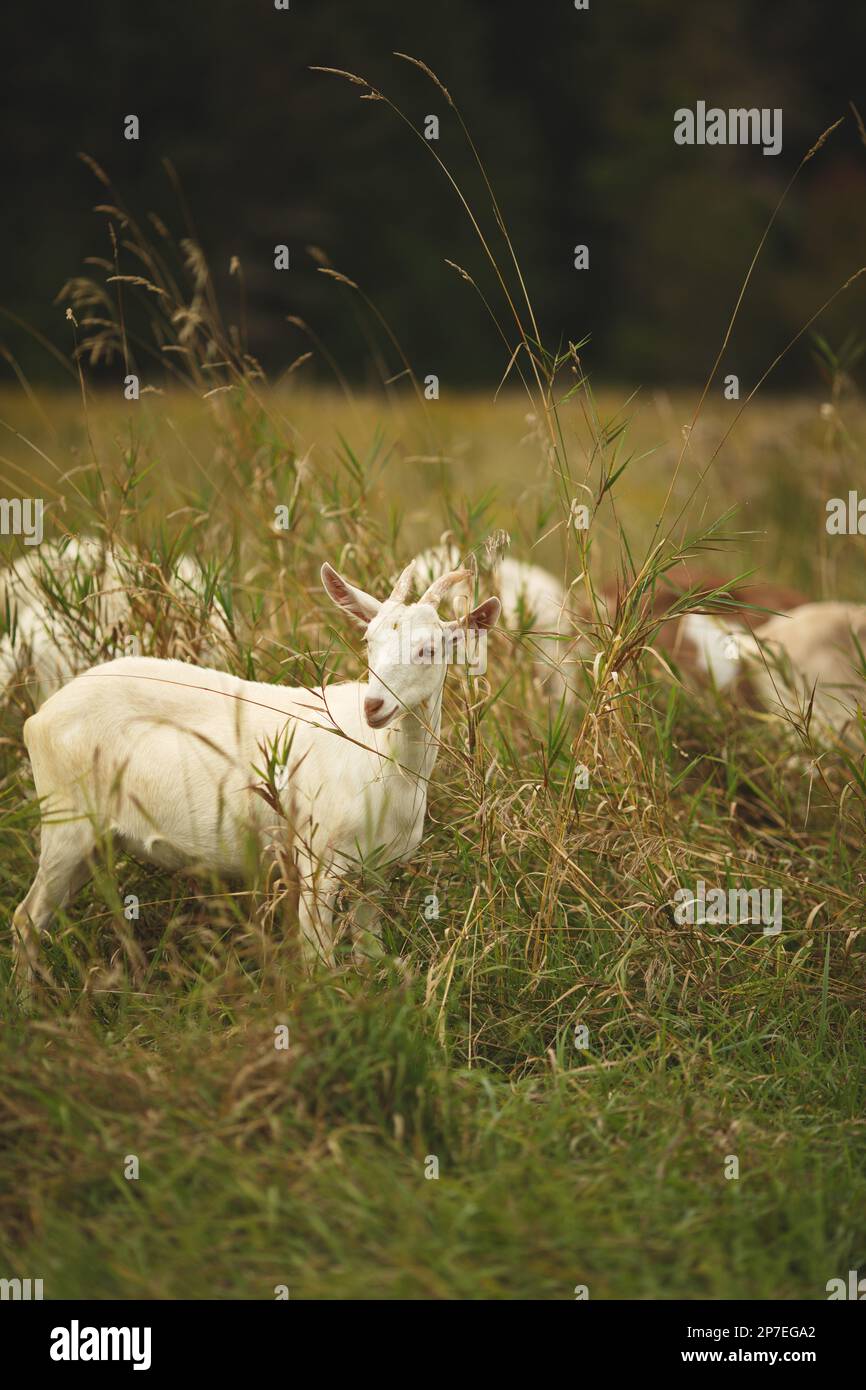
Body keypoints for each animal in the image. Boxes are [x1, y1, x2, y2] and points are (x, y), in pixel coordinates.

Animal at [11, 558, 500, 988]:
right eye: (368, 640)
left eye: (429, 649)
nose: (373, 706)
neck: (383, 762)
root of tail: (40, 716)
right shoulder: (318, 862)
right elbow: (317, 957)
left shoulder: (377, 873)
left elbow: (369, 953)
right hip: (66, 825)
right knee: (25, 918)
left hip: (94, 841)